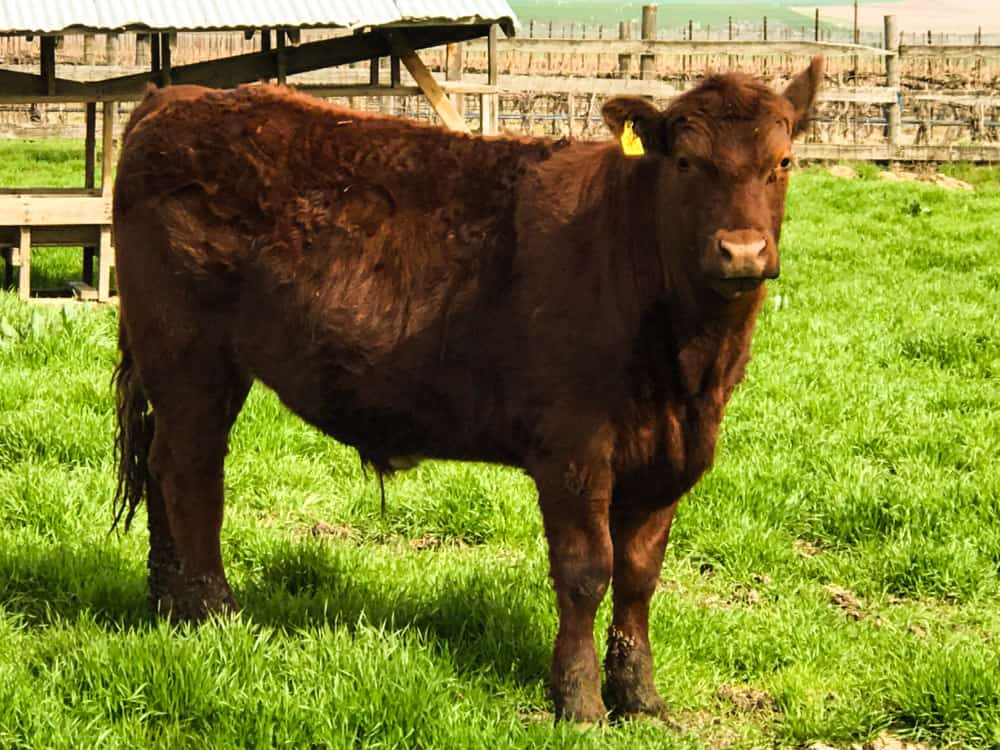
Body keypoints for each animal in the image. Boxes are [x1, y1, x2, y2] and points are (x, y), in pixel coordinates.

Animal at [112, 58, 823, 724]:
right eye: (684, 161)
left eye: (783, 161)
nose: (741, 251)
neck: (687, 367)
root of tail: (176, 98)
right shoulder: (573, 451)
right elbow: (586, 571)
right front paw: (579, 701)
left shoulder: (668, 459)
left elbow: (639, 578)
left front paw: (641, 698)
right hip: (191, 358)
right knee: (191, 474)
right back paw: (212, 612)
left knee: (161, 466)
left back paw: (167, 603)